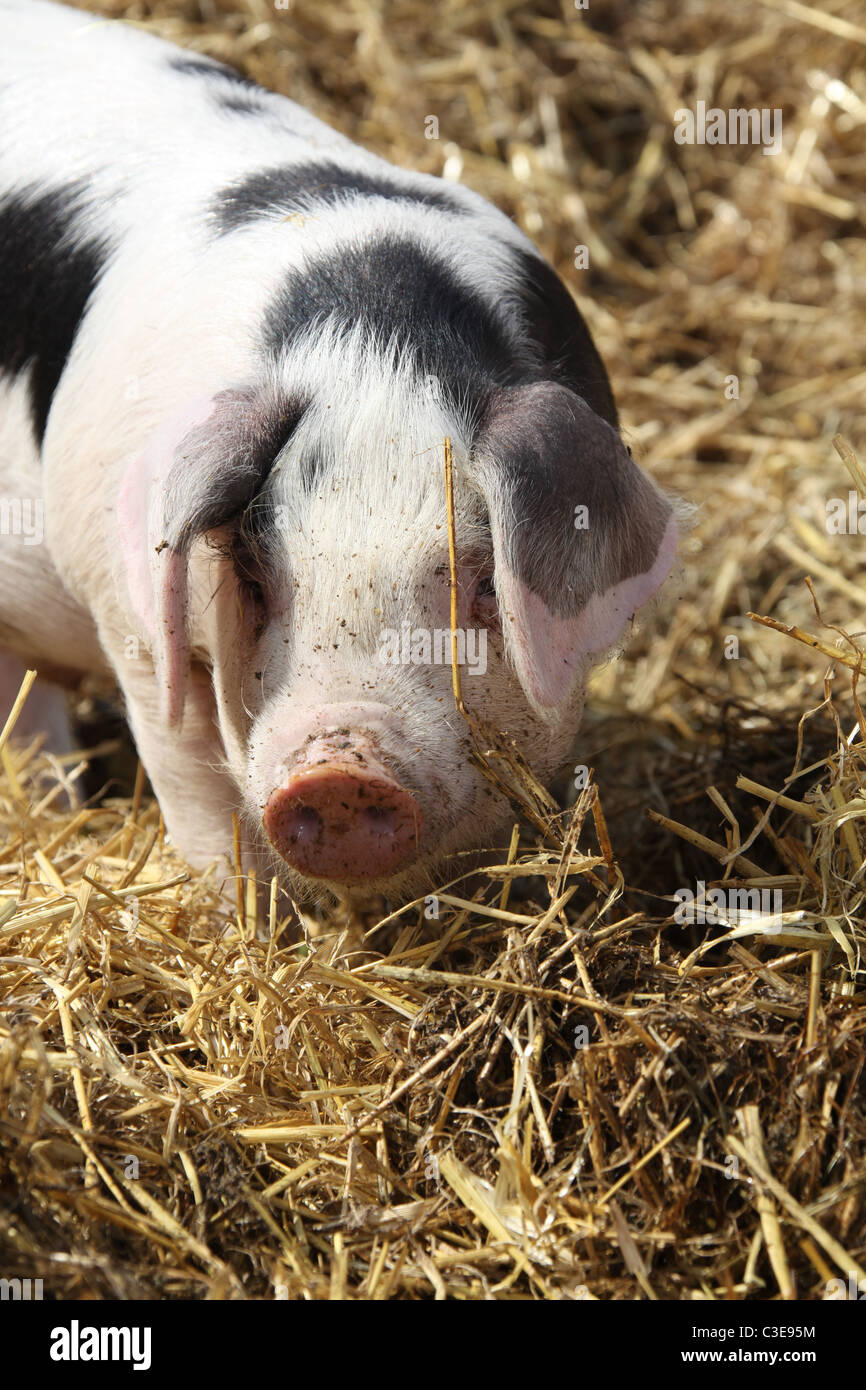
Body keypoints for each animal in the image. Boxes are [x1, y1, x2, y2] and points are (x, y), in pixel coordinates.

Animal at [0, 0, 677, 906]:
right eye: (254, 576)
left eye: (480, 580)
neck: (368, 342)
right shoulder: (128, 620)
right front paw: (245, 917)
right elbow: (197, 787)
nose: (342, 774)